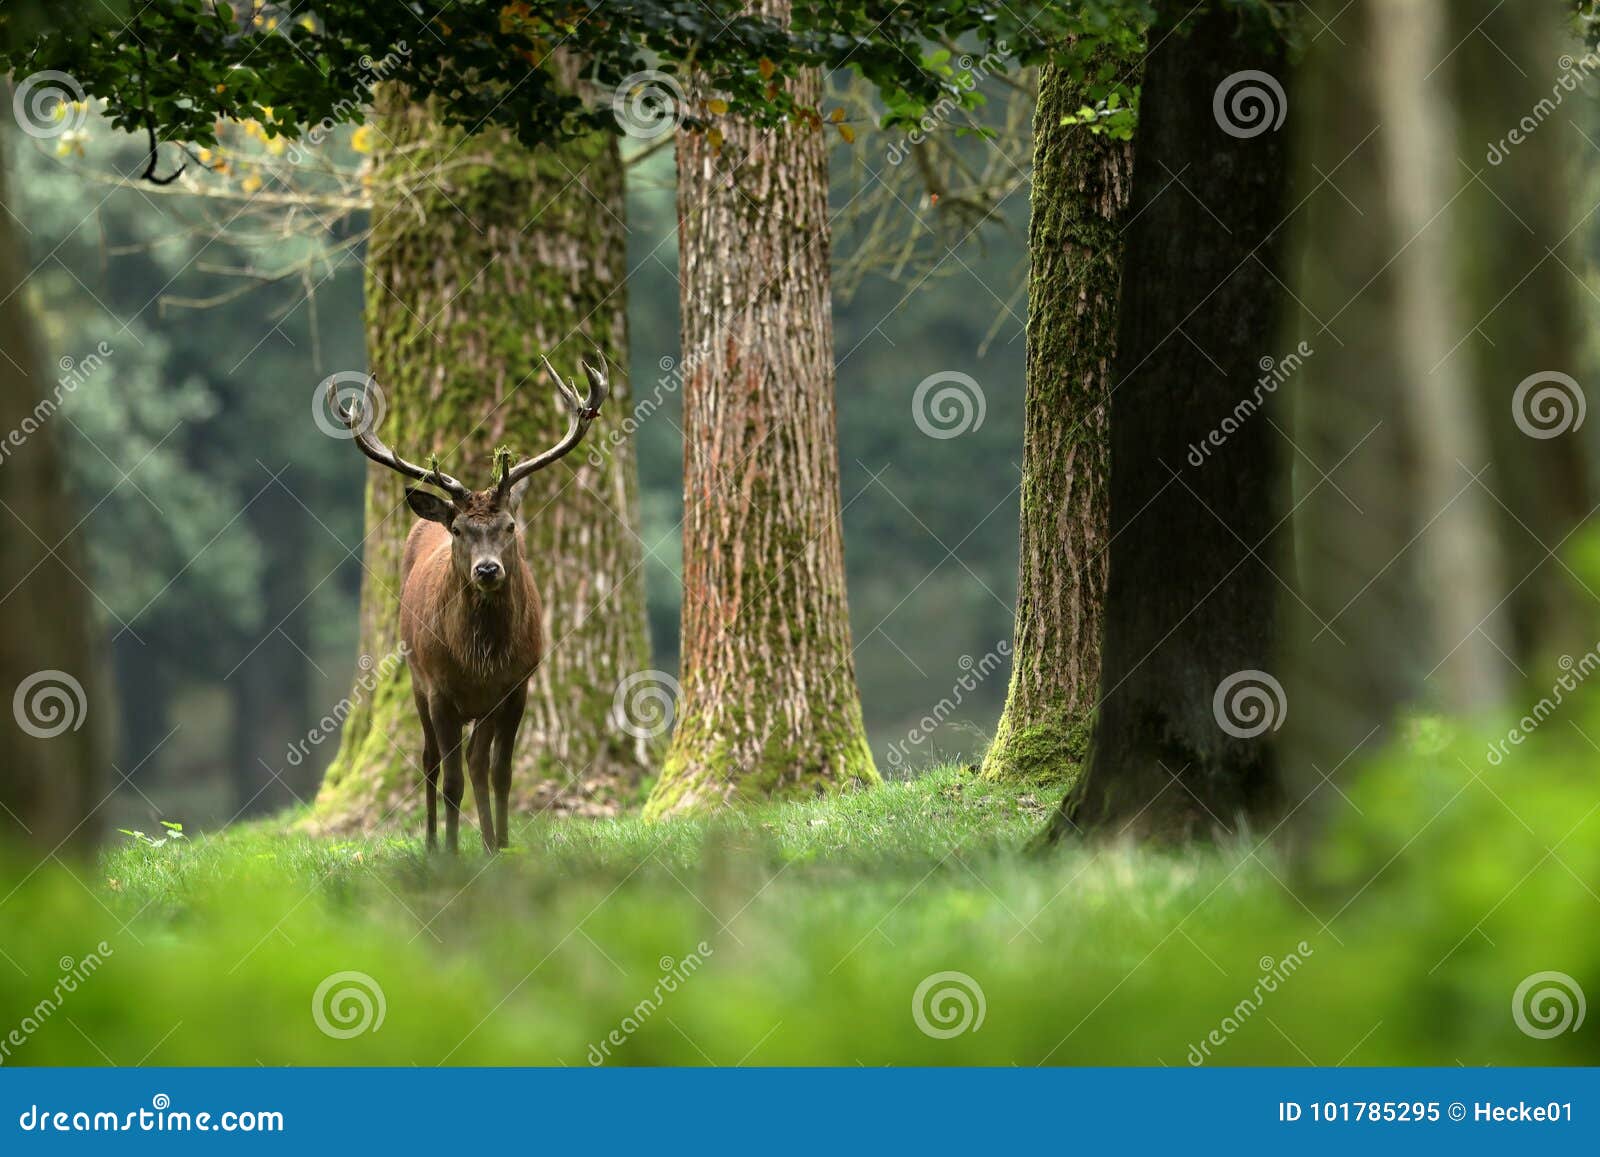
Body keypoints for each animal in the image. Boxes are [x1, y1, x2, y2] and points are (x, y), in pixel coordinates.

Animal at [330, 356, 608, 853]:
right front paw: (452, 853)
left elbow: (500, 772)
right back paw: (433, 843)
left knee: (477, 761)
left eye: (510, 525)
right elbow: (451, 779)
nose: (487, 570)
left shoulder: (517, 685)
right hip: (415, 677)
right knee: (429, 761)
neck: (481, 658)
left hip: (482, 705)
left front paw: (501, 844)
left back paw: (489, 842)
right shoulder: (440, 688)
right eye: (460, 530)